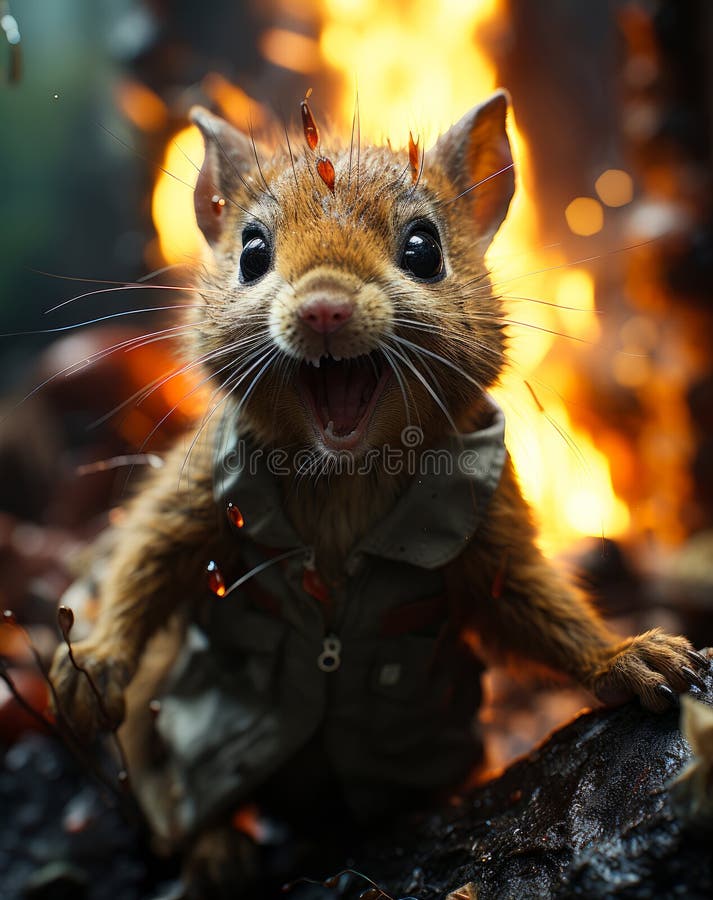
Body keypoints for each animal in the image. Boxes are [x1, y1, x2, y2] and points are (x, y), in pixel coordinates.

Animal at [49, 90, 708, 896]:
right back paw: (216, 849)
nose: (324, 307)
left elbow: (533, 603)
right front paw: (92, 663)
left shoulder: (486, 519)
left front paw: (631, 657)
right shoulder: (197, 485)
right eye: (251, 253)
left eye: (425, 248)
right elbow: (146, 558)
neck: (344, 473)